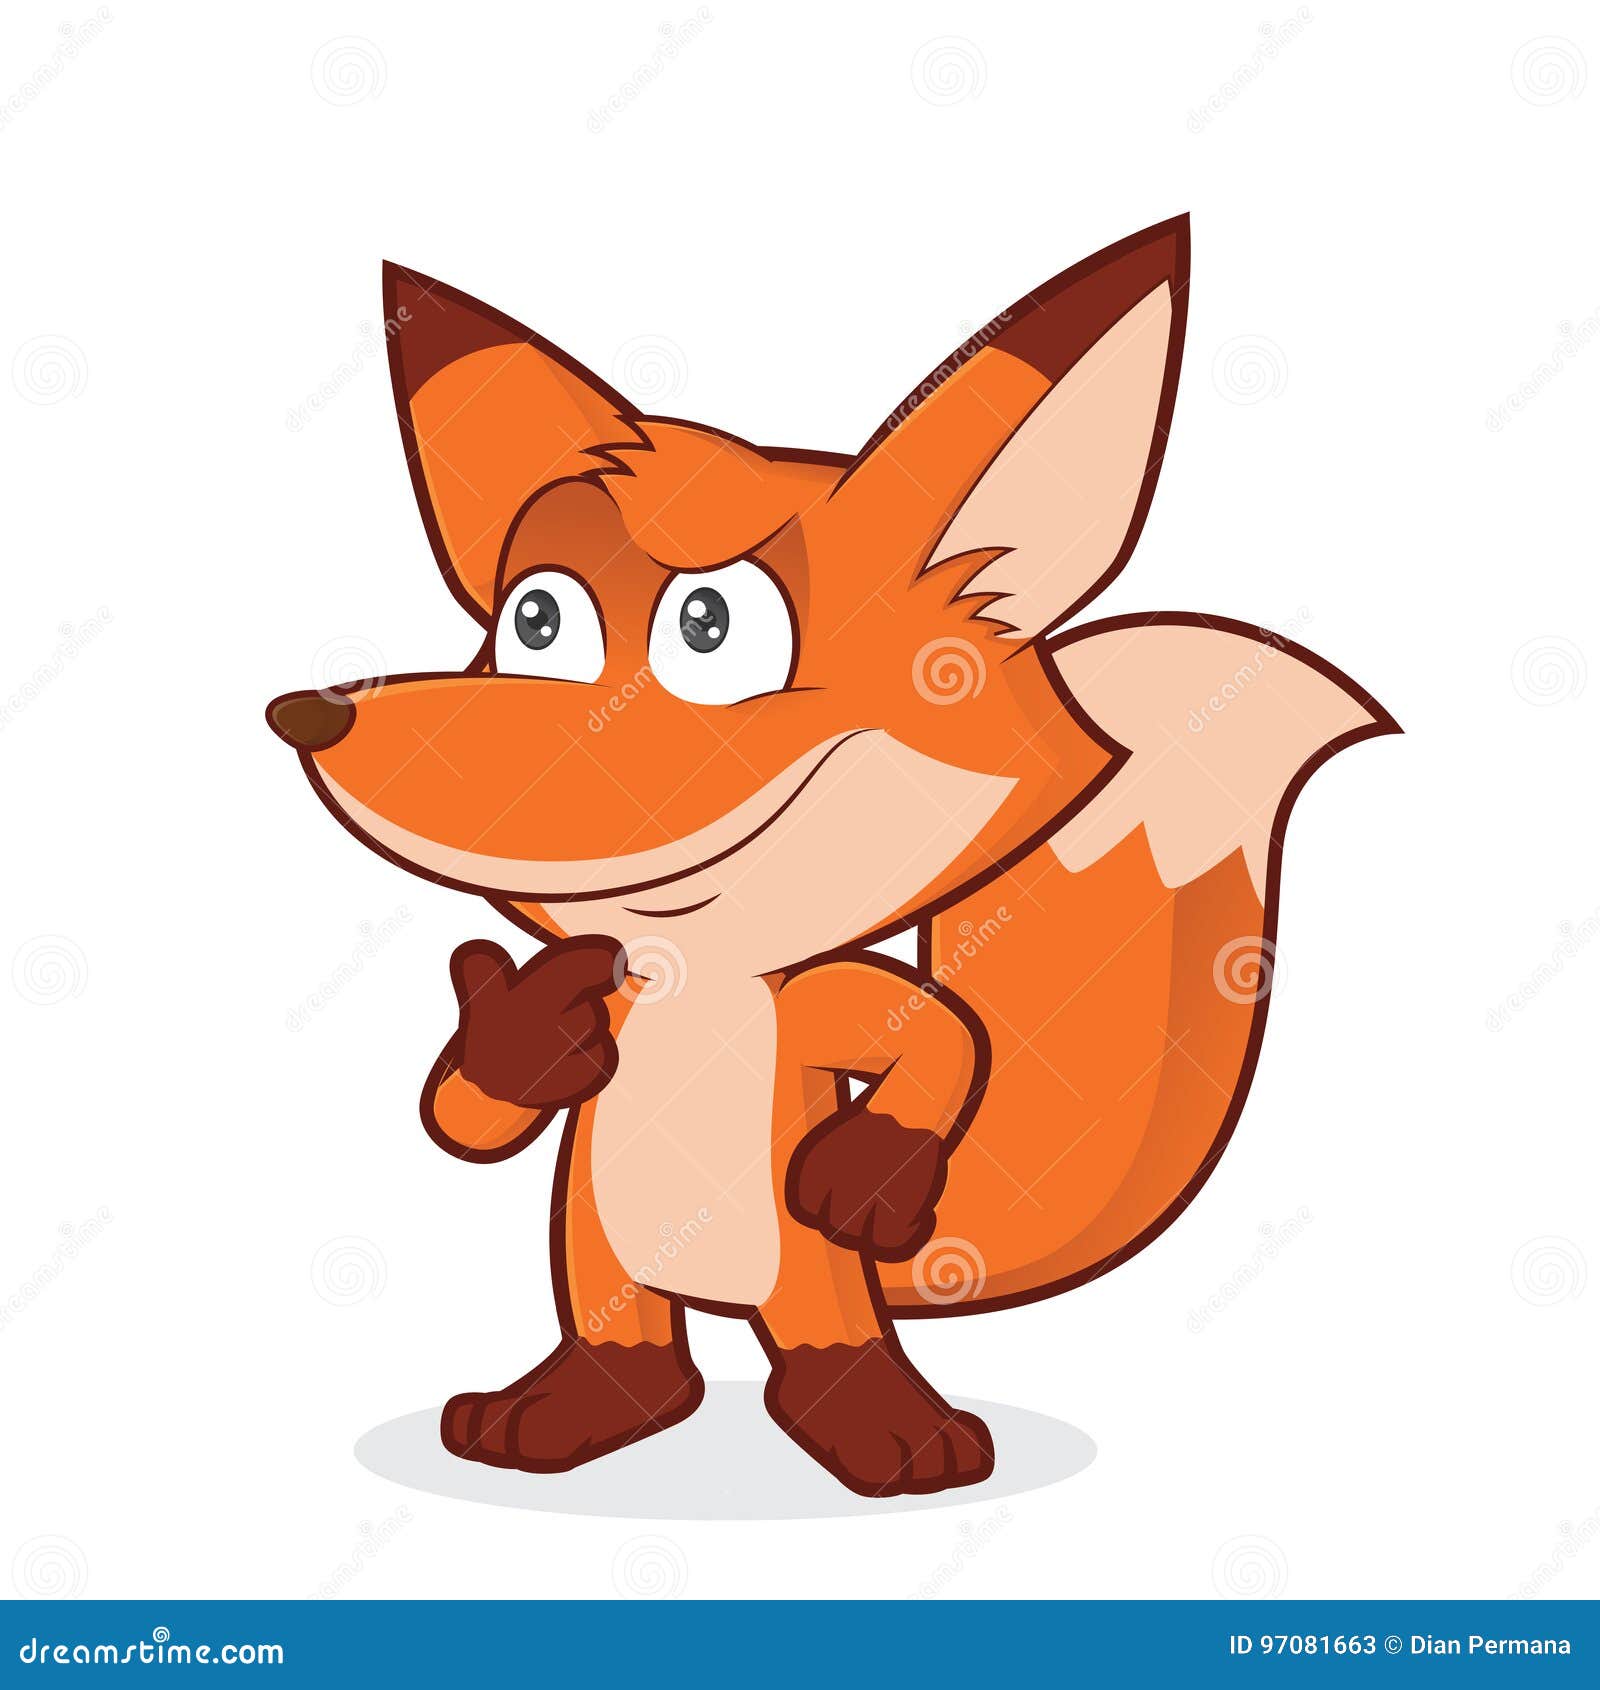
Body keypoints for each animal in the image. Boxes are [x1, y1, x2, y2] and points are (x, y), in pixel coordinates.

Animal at [267, 216, 1395, 1498]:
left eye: (708, 630)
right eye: (535, 626)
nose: (312, 716)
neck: (691, 979)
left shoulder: (813, 1005)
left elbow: (938, 1041)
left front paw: (869, 1167)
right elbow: (472, 1117)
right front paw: (525, 1033)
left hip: (807, 1278)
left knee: (818, 1344)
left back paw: (877, 1418)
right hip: (600, 1254)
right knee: (639, 1354)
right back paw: (574, 1403)